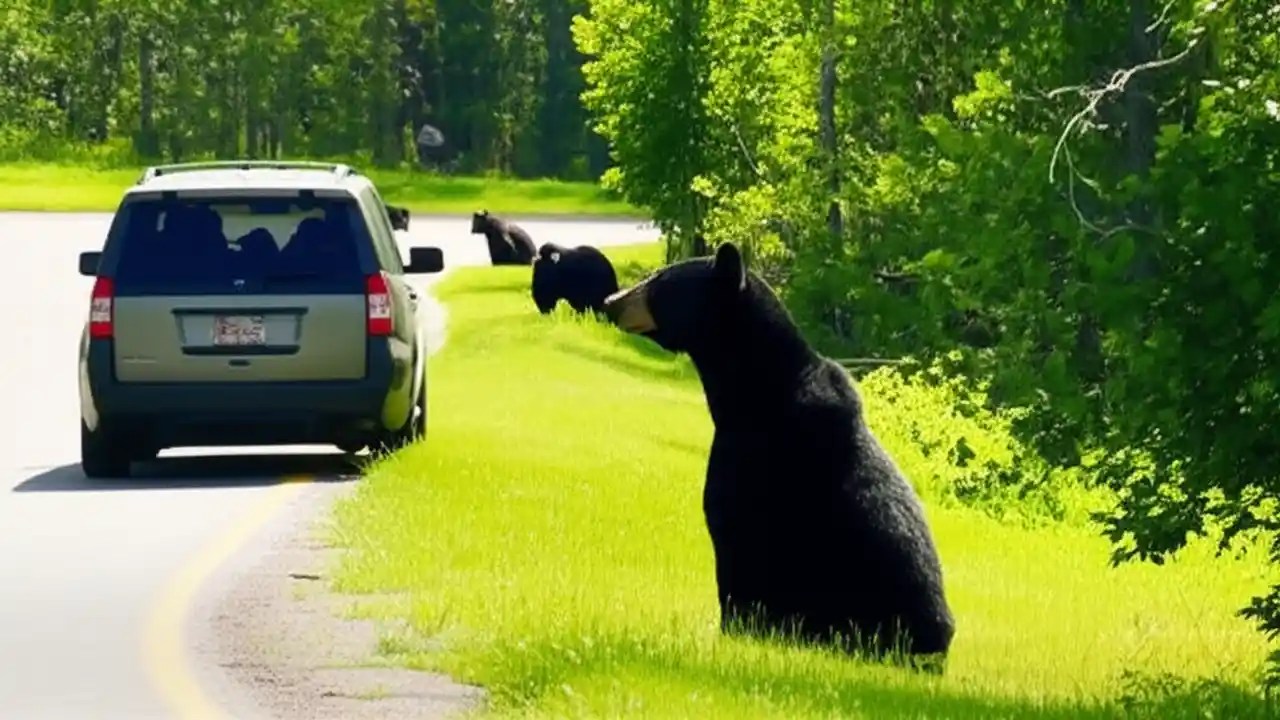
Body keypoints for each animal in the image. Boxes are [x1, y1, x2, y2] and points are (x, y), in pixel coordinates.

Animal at [602, 242, 956, 673]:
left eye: (660, 282)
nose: (611, 301)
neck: (754, 393)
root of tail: (936, 650)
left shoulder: (753, 466)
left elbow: (738, 550)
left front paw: (733, 632)